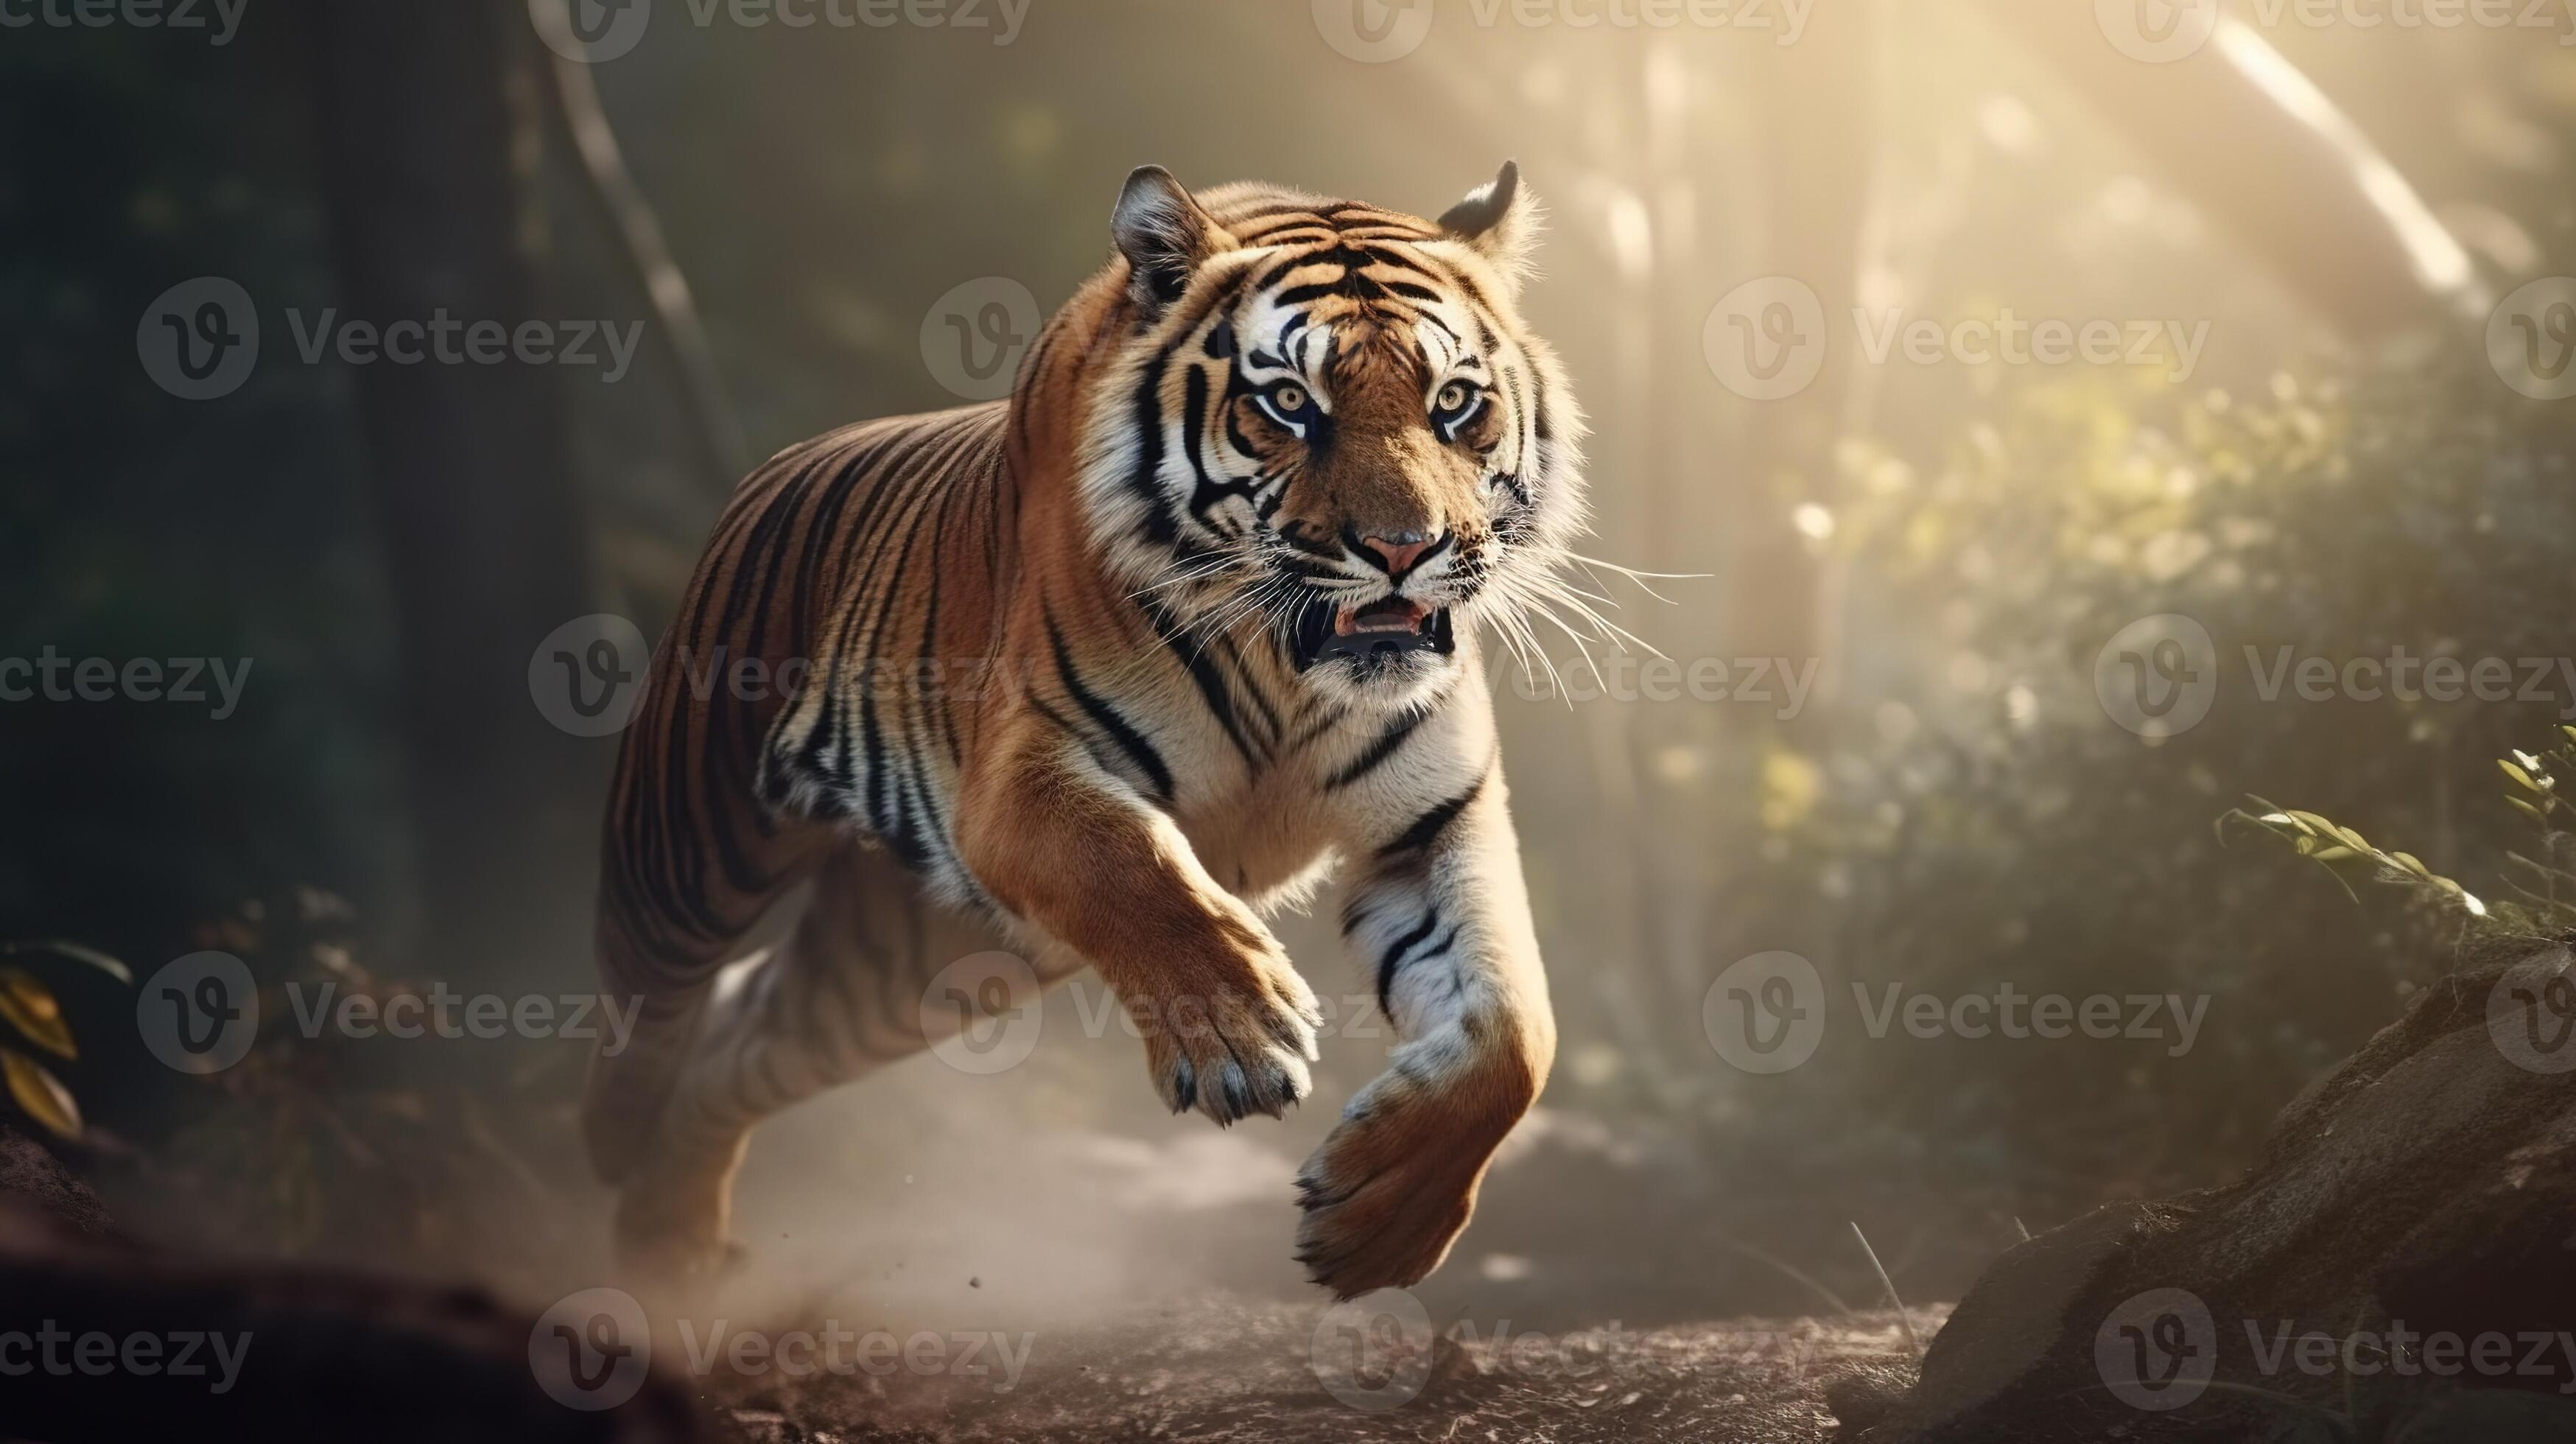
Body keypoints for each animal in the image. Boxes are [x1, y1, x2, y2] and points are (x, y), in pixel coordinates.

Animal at [585, 161, 1593, 1301]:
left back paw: (668, 1242)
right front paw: (1241, 1032)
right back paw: (608, 1148)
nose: (1403, 549)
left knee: (740, 1038)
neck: (1289, 676)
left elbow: (1516, 1029)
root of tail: (778, 462)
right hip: (689, 848)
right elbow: (1126, 860)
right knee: (647, 1006)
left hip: (911, 961)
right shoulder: (1022, 769)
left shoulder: (1432, 825)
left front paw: (1376, 1227)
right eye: (1290, 403)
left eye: (1453, 402)